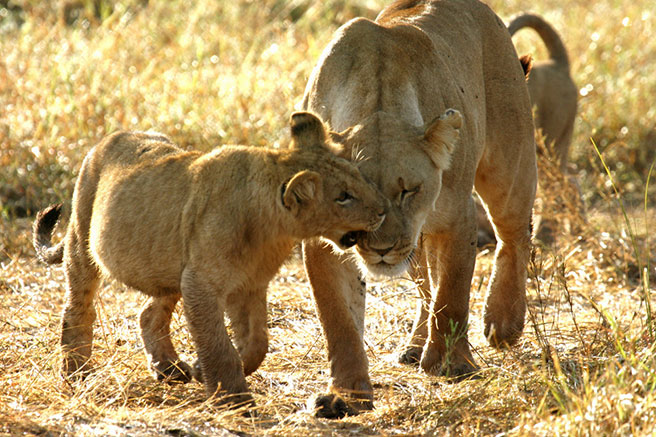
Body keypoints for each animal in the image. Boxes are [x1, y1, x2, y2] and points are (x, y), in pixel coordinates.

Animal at [33, 112, 389, 407]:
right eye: (343, 197)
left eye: (359, 177)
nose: (384, 210)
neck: (273, 230)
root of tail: (110, 138)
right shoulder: (201, 282)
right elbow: (218, 343)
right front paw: (233, 399)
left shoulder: (249, 285)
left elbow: (257, 341)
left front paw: (204, 371)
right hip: (83, 237)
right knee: (78, 307)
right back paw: (76, 371)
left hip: (171, 267)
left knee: (149, 314)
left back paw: (170, 369)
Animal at [300, 0, 537, 418]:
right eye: (346, 197)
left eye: (408, 191)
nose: (380, 248)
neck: (375, 104)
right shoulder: (322, 241)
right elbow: (339, 320)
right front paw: (345, 395)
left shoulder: (458, 217)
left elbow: (453, 294)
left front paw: (451, 365)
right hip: (415, 245)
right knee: (426, 282)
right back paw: (414, 346)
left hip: (509, 161)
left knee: (514, 236)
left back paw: (503, 323)